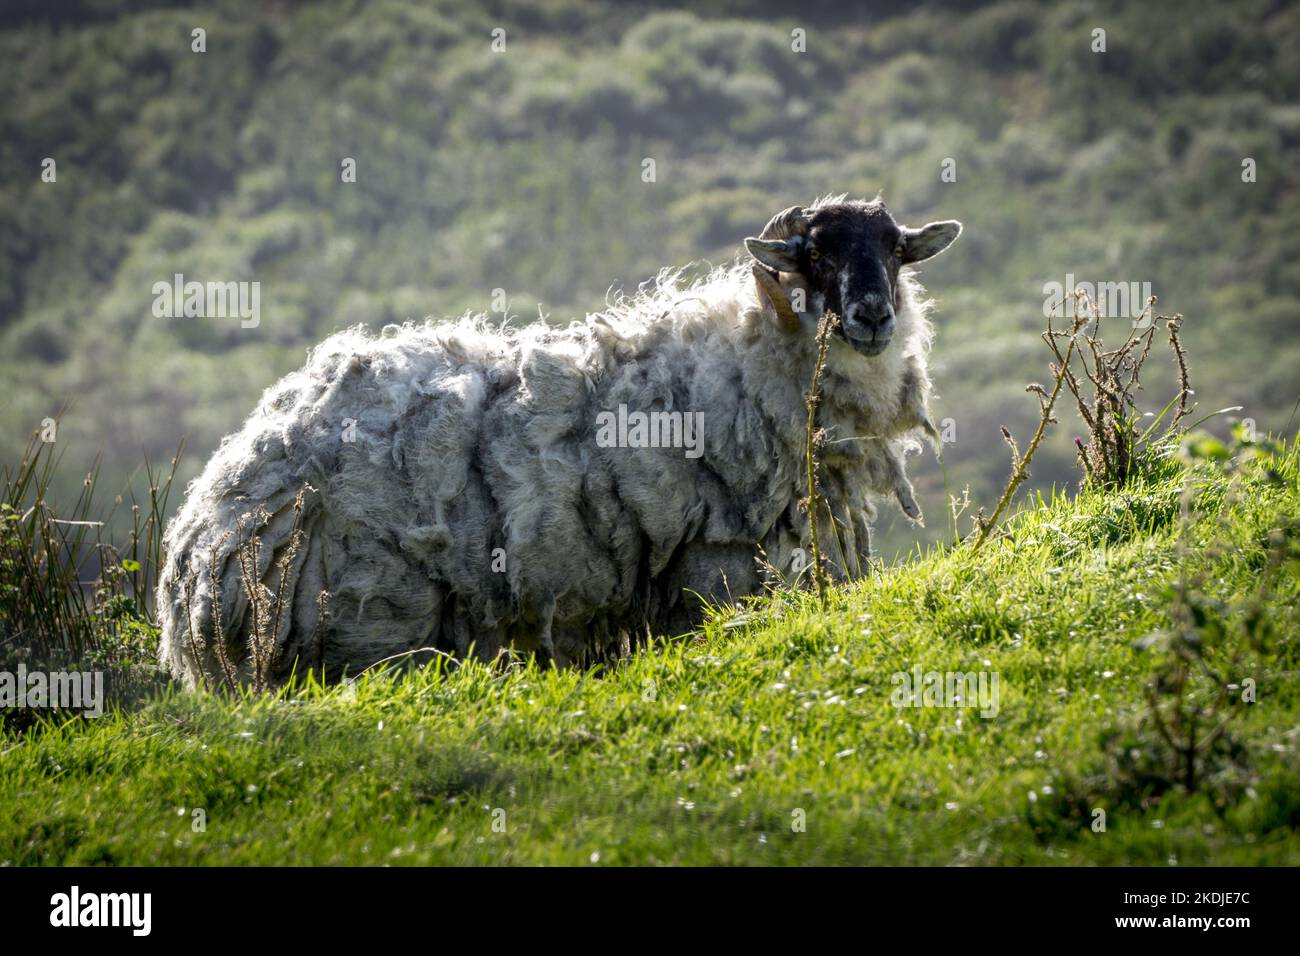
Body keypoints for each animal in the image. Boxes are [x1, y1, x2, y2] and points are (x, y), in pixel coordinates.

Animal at [156, 195, 962, 686]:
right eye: (817, 256)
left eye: (895, 251)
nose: (873, 315)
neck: (749, 360)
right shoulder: (712, 561)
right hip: (367, 622)